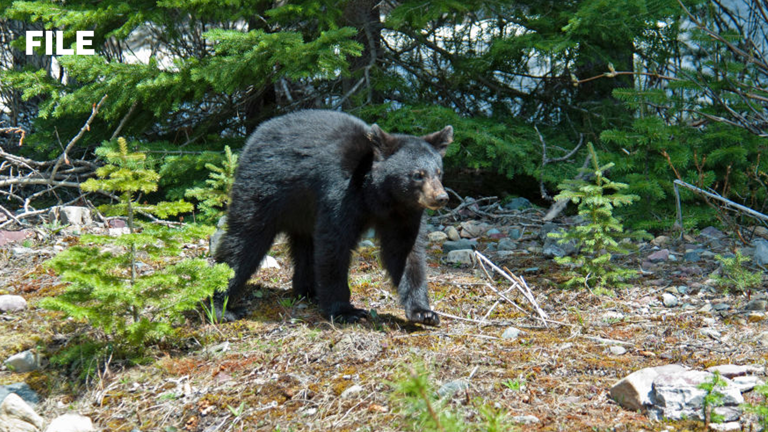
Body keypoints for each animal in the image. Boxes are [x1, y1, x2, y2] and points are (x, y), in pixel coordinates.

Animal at [214, 109, 453, 325]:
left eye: (439, 172)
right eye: (417, 175)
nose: (441, 197)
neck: (378, 195)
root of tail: (255, 135)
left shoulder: (404, 213)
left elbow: (404, 252)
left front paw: (423, 312)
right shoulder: (341, 192)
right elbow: (334, 245)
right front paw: (345, 311)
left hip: (301, 211)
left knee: (305, 247)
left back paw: (307, 291)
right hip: (263, 189)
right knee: (244, 241)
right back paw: (222, 305)